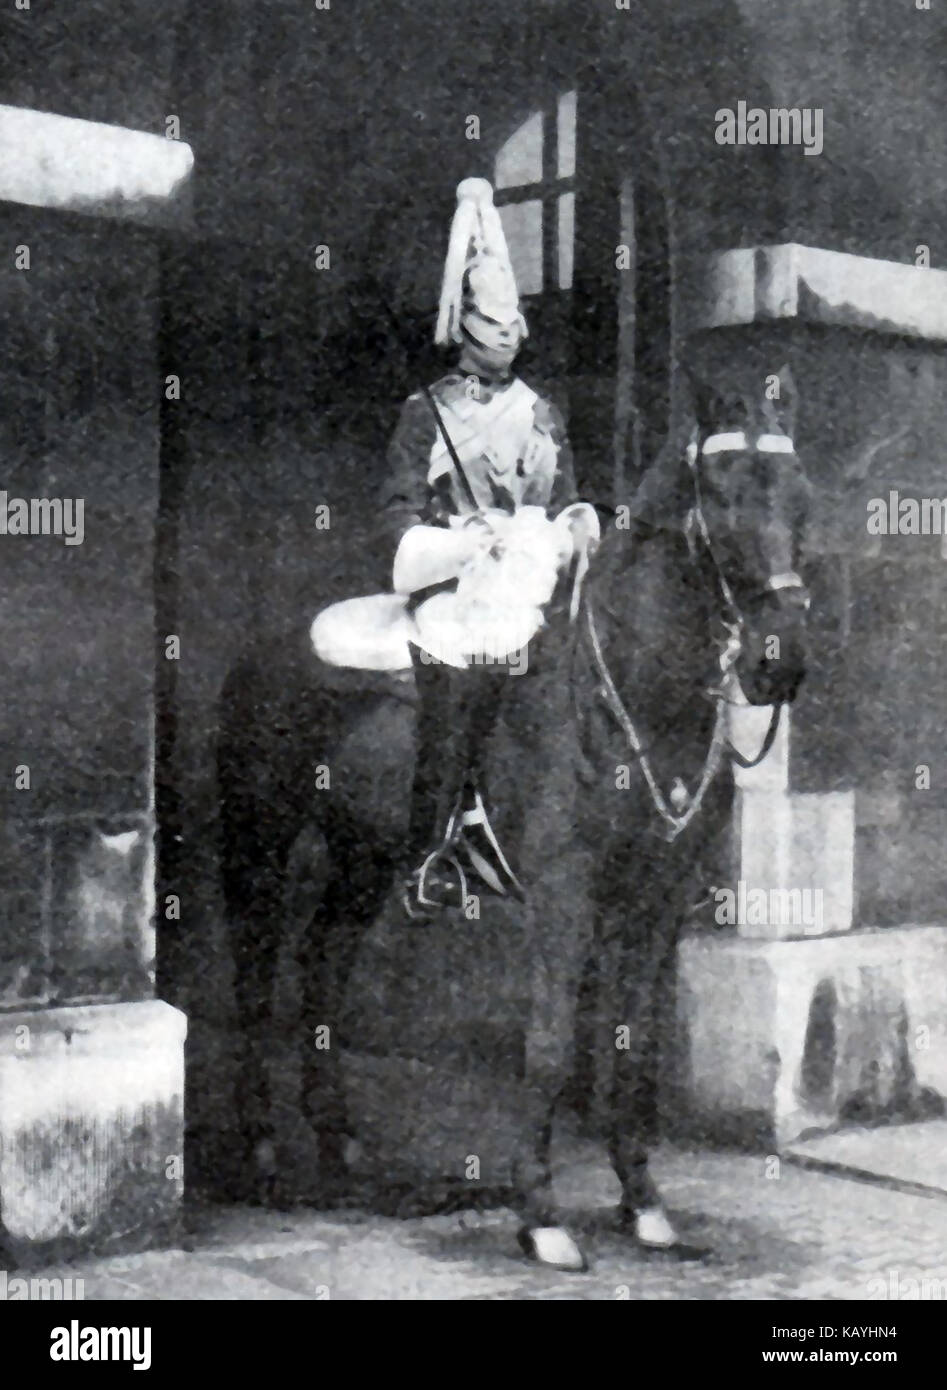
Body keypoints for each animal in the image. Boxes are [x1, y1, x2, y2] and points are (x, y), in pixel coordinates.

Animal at [215, 369, 812, 1273]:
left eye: (797, 493)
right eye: (722, 492)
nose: (780, 662)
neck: (634, 692)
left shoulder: (653, 905)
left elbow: (634, 1047)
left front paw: (644, 1204)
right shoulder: (564, 902)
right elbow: (551, 1049)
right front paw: (541, 1218)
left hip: (365, 854)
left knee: (323, 962)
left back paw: (340, 1146)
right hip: (265, 839)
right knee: (256, 968)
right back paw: (258, 1151)